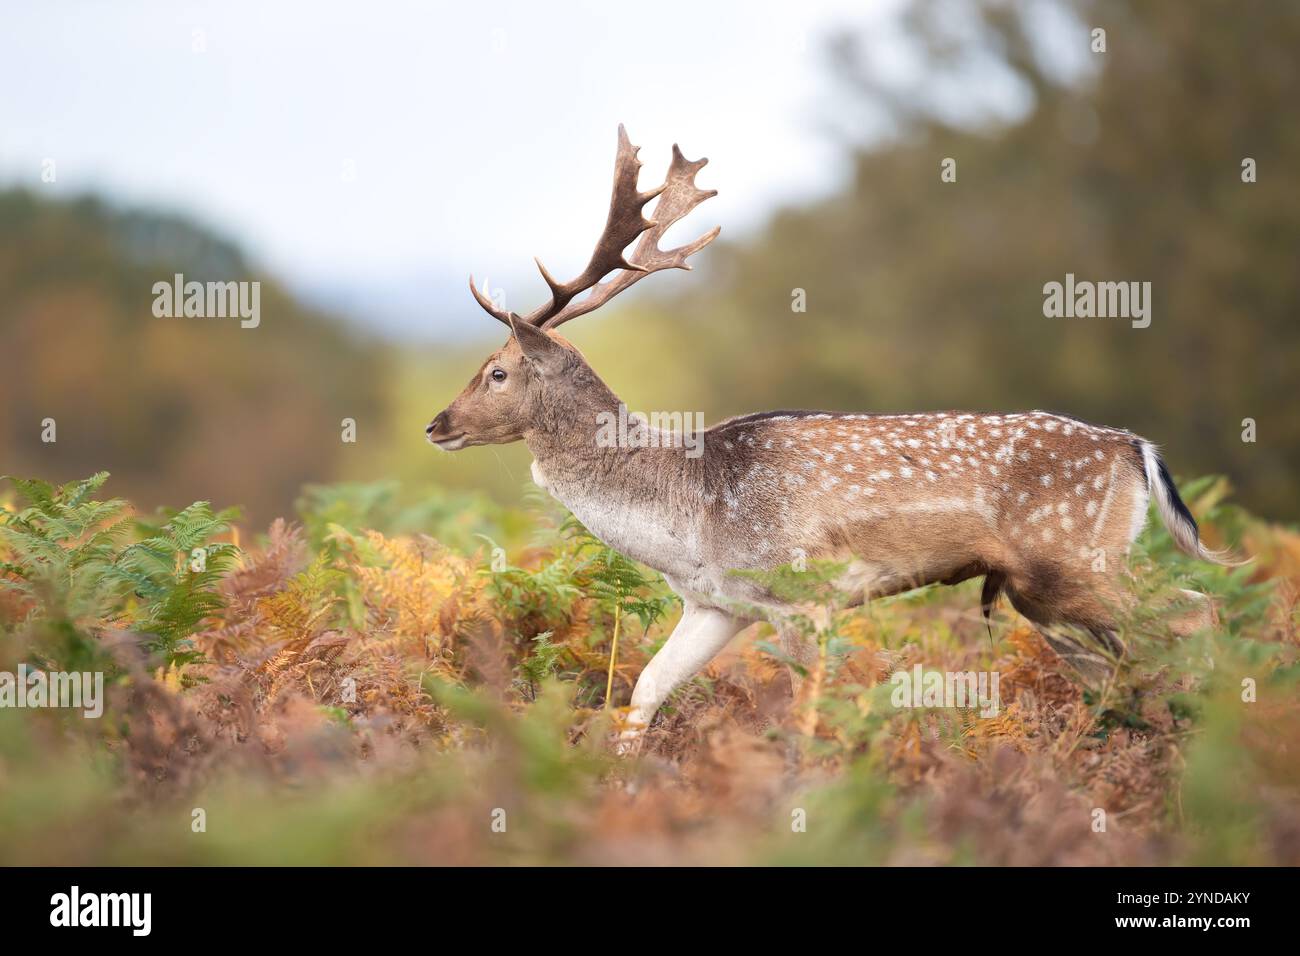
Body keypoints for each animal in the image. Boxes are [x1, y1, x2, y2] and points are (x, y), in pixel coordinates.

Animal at [426, 125, 1234, 751]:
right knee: (1124, 660)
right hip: (1043, 594)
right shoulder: (717, 602)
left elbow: (809, 707)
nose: (437, 424)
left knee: (1195, 607)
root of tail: (1136, 450)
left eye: (497, 371)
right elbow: (647, 687)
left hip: (1072, 558)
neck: (686, 514)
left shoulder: (798, 593)